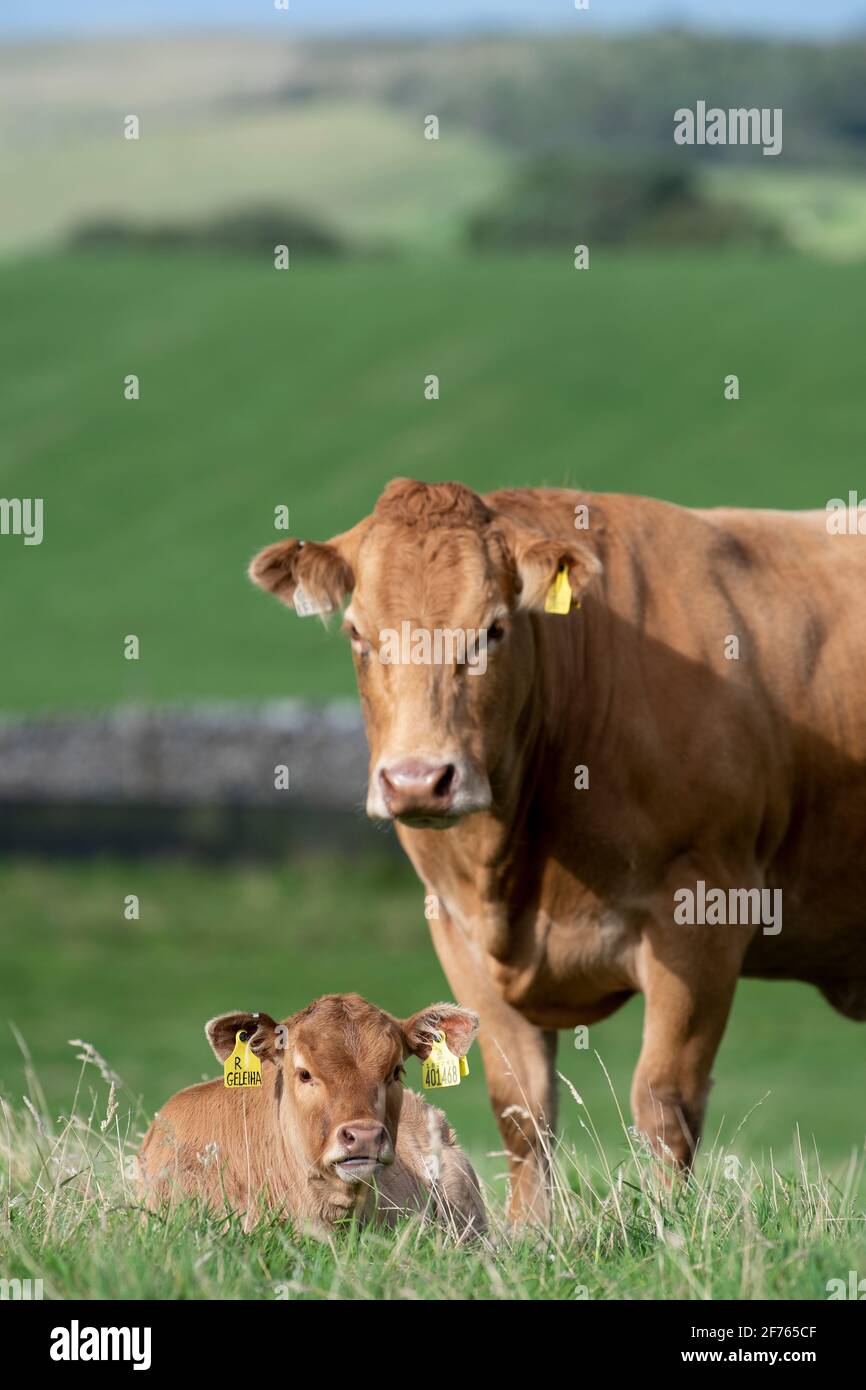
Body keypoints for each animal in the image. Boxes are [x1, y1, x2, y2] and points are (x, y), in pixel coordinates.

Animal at [249, 479, 866, 1221]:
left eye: (492, 629)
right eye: (356, 634)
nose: (418, 779)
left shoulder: (704, 912)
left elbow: (666, 1103)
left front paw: (667, 1226)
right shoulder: (459, 931)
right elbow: (521, 1111)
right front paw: (528, 1231)